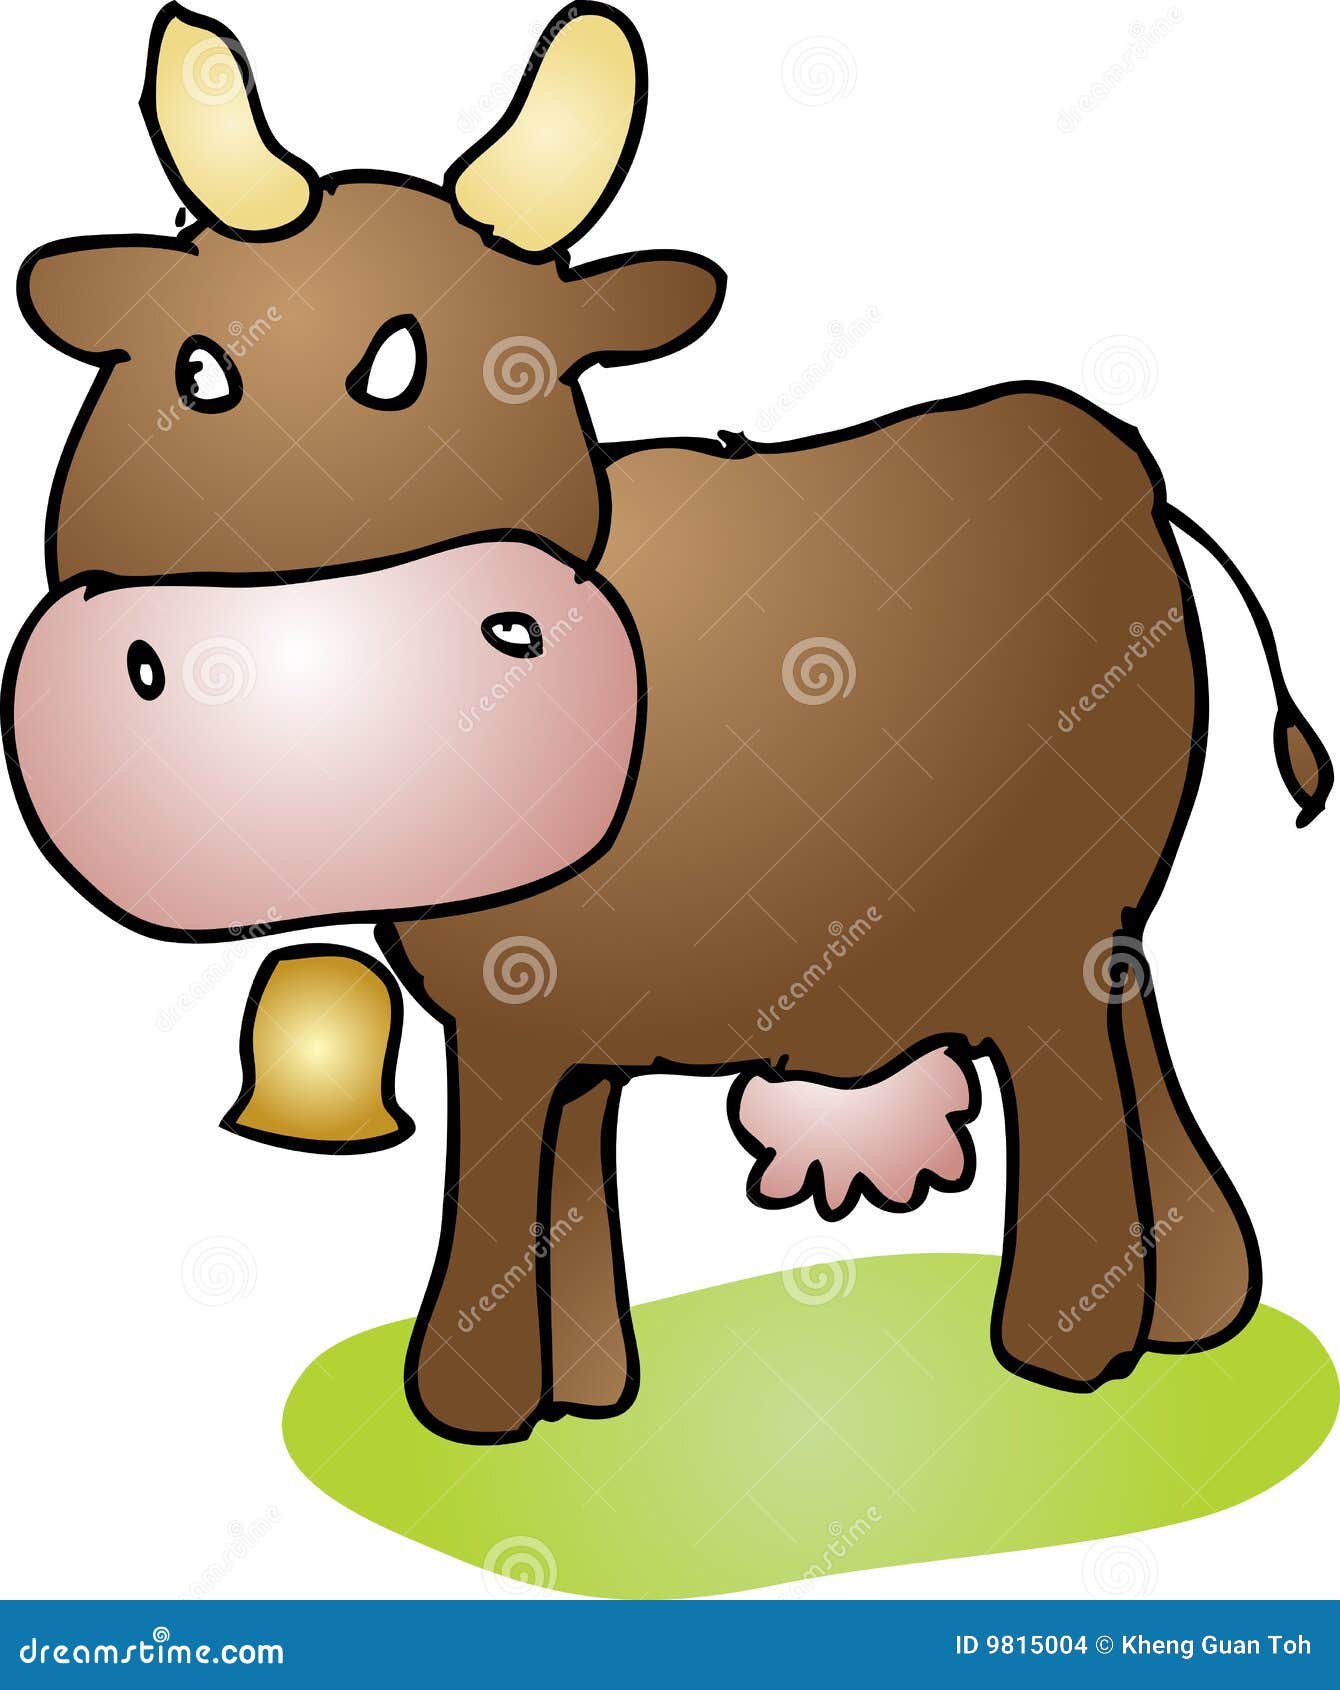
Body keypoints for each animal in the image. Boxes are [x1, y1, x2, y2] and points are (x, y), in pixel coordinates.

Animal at [5, 4, 1331, 1445]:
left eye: (421, 363)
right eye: (196, 369)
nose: (208, 666)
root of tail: (1122, 465)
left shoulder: (507, 1023)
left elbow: (499, 1190)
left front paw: (469, 1409)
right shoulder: (555, 1016)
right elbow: (569, 1191)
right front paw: (584, 1395)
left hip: (1043, 930)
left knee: (1071, 1085)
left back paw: (1063, 1353)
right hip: (1103, 920)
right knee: (1140, 1048)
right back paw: (1195, 1311)